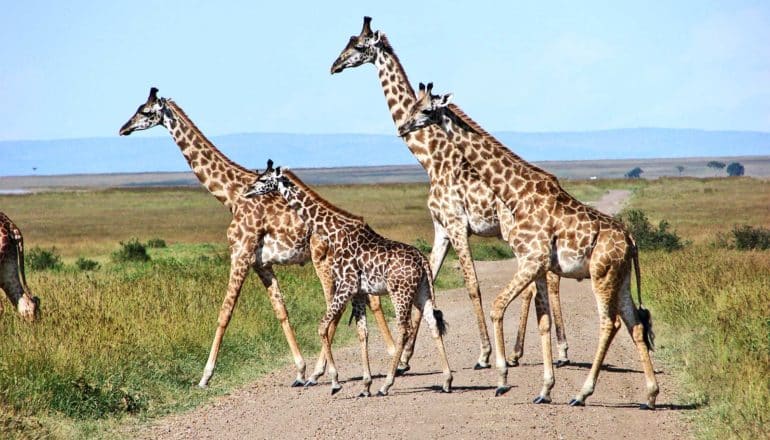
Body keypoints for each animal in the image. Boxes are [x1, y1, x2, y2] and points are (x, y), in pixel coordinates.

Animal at [118, 88, 395, 388]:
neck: (231, 195)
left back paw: (327, 371)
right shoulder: (261, 263)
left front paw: (205, 376)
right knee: (365, 301)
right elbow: (281, 311)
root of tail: (361, 224)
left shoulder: (240, 253)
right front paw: (299, 370)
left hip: (324, 261)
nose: (123, 128)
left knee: (336, 305)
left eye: (145, 112)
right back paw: (390, 357)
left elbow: (225, 312)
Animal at [245, 161, 453, 397]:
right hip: (422, 291)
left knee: (404, 329)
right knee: (433, 324)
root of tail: (422, 261)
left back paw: (386, 384)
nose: (247, 191)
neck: (334, 232)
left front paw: (335, 381)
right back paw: (446, 381)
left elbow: (322, 326)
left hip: (400, 292)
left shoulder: (345, 286)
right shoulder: (358, 292)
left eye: (263, 179)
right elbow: (362, 333)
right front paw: (365, 385)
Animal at [330, 16, 569, 370]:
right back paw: (532, 351)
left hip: (517, 235)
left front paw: (484, 354)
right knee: (541, 279)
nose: (334, 65)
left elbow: (472, 285)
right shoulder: (441, 228)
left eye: (358, 45)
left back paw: (538, 351)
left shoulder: (457, 224)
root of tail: (555, 187)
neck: (431, 158)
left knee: (539, 280)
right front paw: (405, 359)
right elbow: (428, 282)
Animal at [399, 83, 659, 409]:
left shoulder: (530, 260)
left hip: (602, 276)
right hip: (620, 279)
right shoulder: (539, 267)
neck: (516, 193)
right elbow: (542, 322)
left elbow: (498, 306)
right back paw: (650, 395)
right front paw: (544, 389)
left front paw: (501, 379)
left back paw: (582, 394)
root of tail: (632, 241)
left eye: (424, 109)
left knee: (609, 324)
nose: (403, 127)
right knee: (635, 324)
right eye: (411, 106)